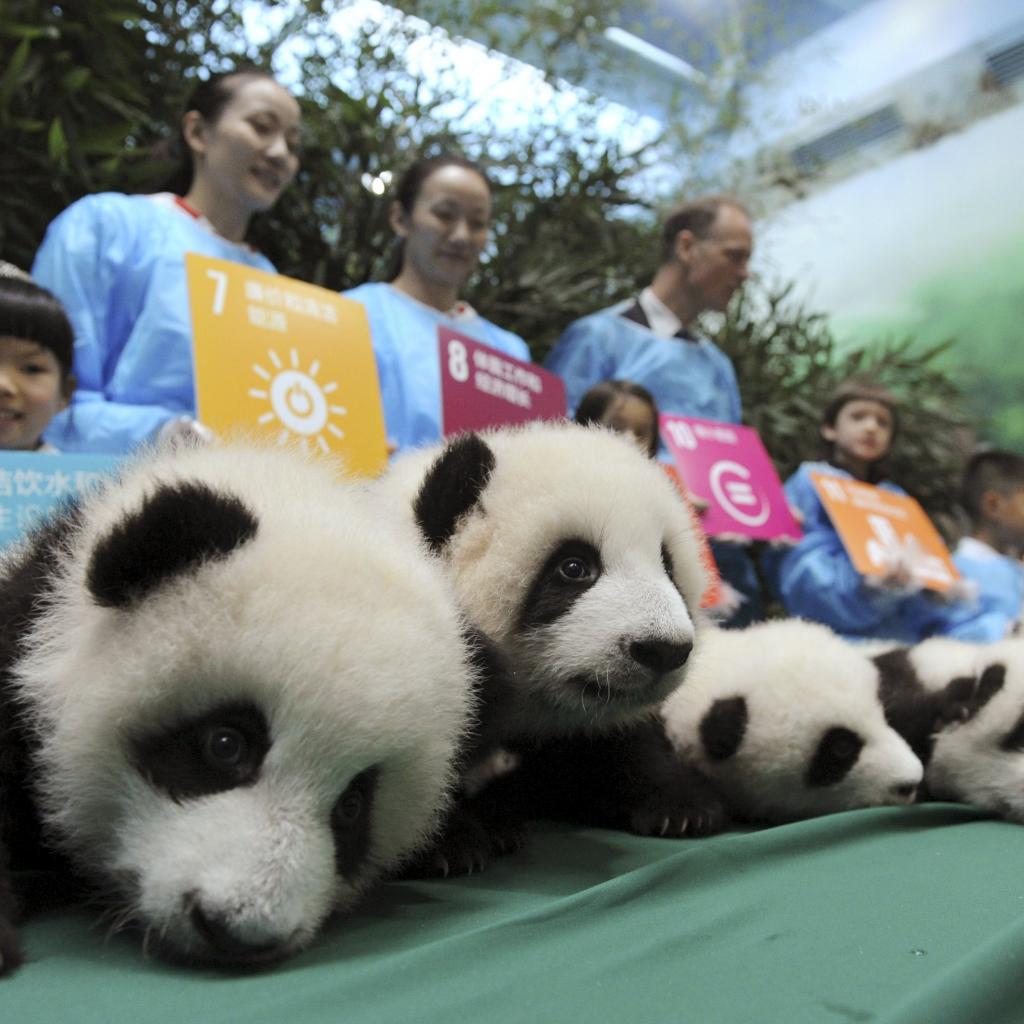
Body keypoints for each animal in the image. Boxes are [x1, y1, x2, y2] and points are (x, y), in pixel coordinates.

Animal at [376, 422, 724, 874]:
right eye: (573, 567)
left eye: (668, 566)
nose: (663, 650)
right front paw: (449, 843)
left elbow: (622, 741)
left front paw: (681, 807)